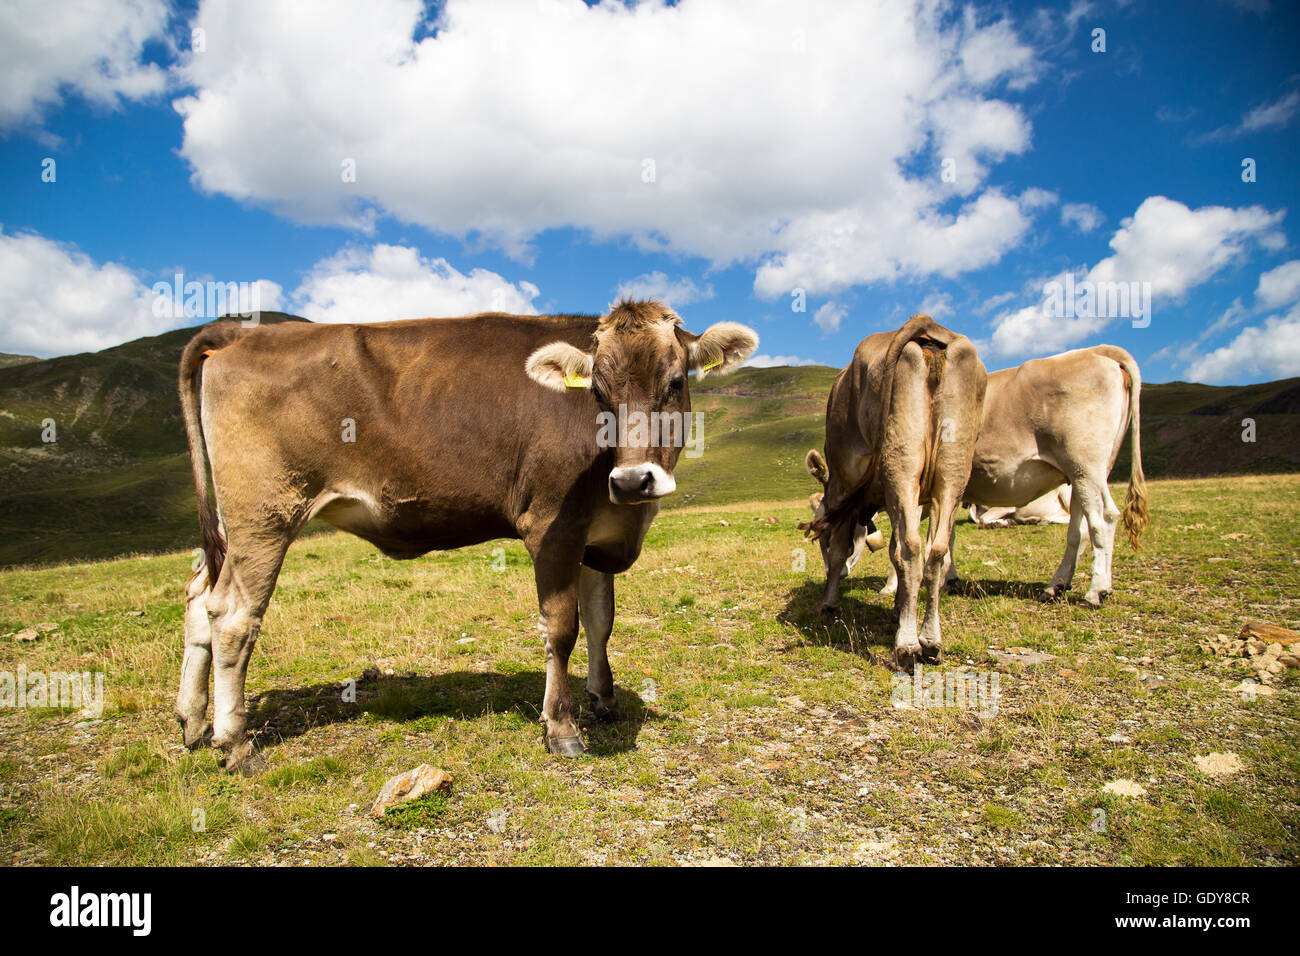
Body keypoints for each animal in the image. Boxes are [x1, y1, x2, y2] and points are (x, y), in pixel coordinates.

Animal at [175, 300, 758, 772]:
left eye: (676, 382)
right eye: (598, 391)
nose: (634, 480)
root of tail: (240, 332)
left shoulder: (598, 536)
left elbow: (601, 622)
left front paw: (604, 700)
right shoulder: (553, 526)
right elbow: (562, 628)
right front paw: (562, 729)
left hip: (230, 523)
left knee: (199, 596)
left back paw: (193, 722)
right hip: (263, 513)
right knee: (233, 617)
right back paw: (236, 743)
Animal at [801, 314, 987, 670]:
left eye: (822, 539)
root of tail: (928, 327)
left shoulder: (845, 485)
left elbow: (843, 549)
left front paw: (829, 602)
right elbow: (892, 551)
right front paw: (899, 610)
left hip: (902, 465)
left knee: (912, 549)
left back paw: (907, 647)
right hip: (951, 470)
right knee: (936, 552)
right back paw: (930, 640)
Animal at [814, 346, 1148, 607]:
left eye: (828, 536)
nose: (837, 573)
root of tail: (1097, 352)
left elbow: (902, 541)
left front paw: (892, 586)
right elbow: (947, 537)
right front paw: (948, 579)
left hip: (1086, 466)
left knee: (1104, 518)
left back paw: (1096, 591)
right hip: (1079, 476)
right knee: (1078, 531)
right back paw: (1056, 586)